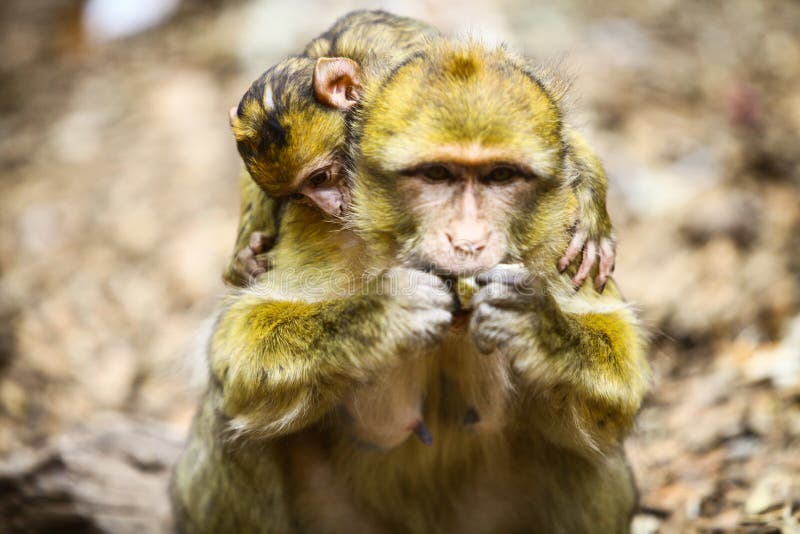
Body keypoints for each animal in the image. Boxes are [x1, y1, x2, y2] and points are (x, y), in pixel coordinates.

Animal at [172, 34, 649, 533]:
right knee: (235, 422)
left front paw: (534, 322)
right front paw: (384, 313)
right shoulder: (315, 226)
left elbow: (621, 383)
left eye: (501, 176)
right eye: (437, 175)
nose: (467, 241)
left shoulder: (559, 233)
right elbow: (237, 344)